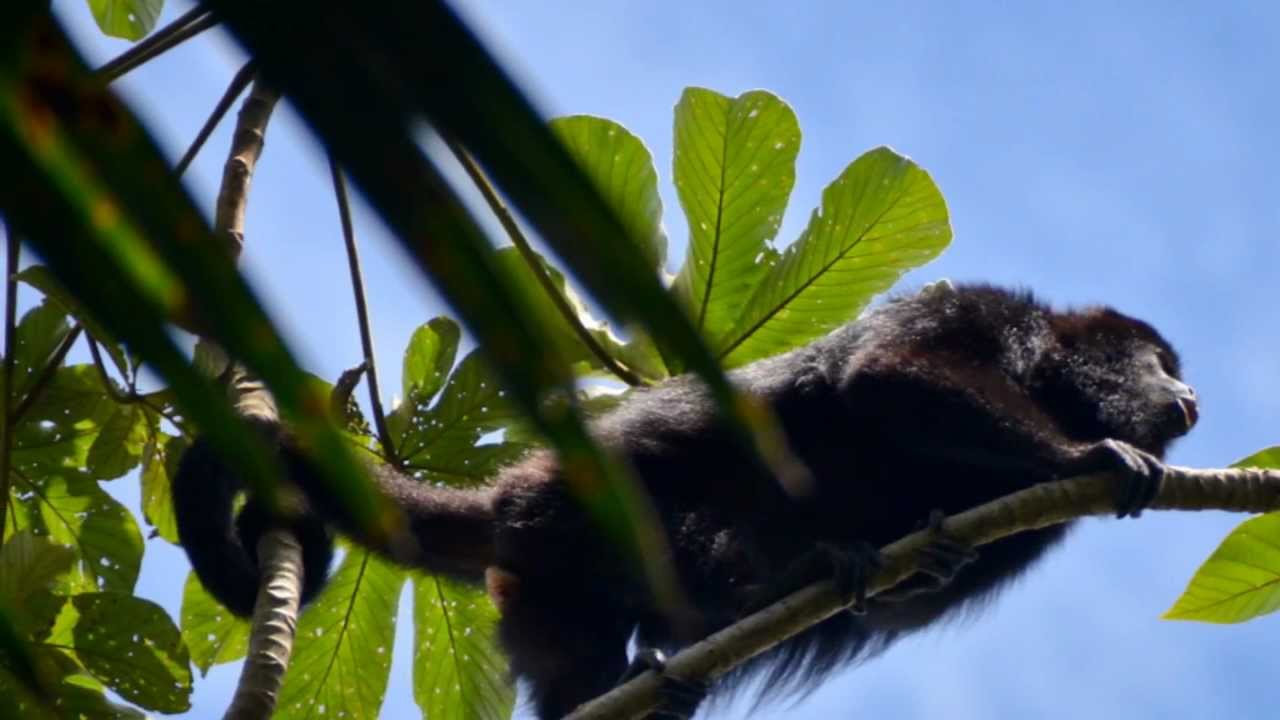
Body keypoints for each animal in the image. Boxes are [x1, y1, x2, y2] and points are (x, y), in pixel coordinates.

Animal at [173, 283, 1198, 719]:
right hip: (576, 515)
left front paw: (932, 557)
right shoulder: (987, 312)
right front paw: (1086, 447)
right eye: (1159, 359)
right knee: (702, 520)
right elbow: (889, 373)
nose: (1191, 394)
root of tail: (506, 496)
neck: (1054, 373)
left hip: (539, 590)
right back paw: (787, 572)